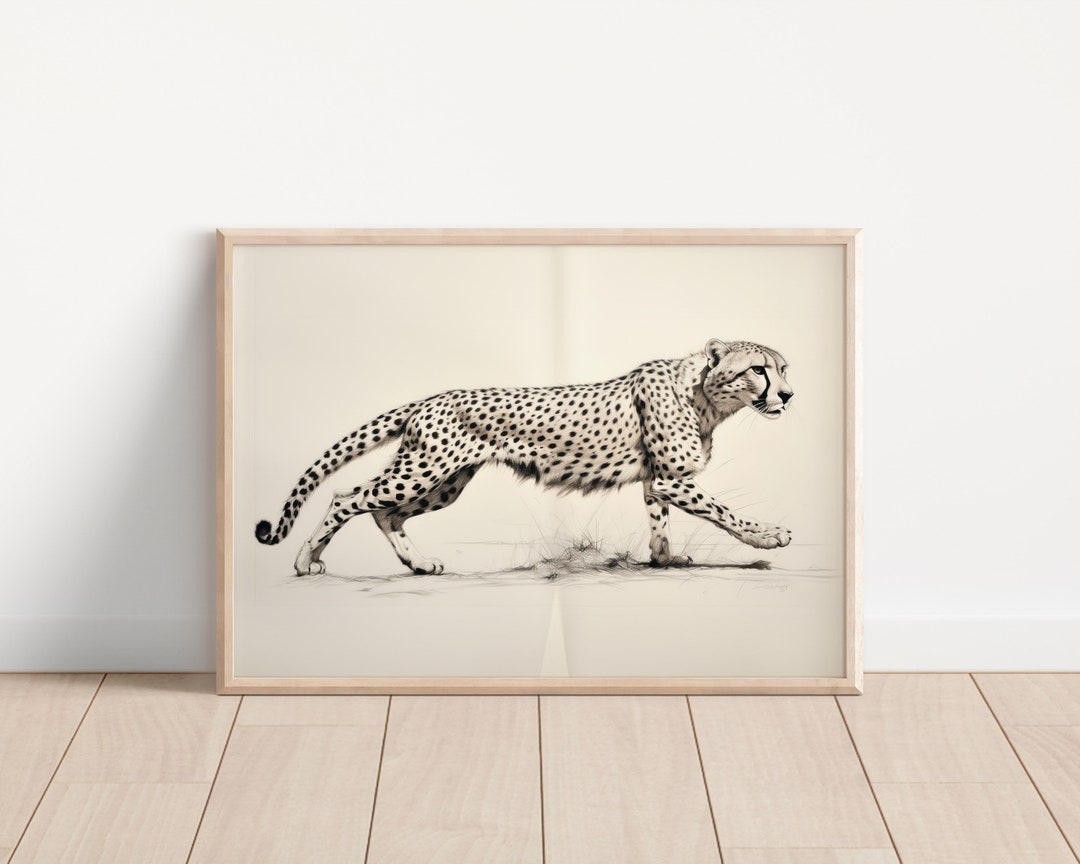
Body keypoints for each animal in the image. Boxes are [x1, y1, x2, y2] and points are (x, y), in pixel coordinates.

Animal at [255, 338, 794, 576]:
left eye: (784, 369)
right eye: (758, 370)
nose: (788, 396)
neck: (704, 395)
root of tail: (431, 398)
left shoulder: (657, 480)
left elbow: (659, 523)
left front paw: (665, 559)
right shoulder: (671, 479)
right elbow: (724, 512)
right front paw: (769, 536)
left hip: (446, 483)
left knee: (386, 513)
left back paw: (419, 564)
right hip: (423, 470)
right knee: (348, 496)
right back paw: (305, 561)